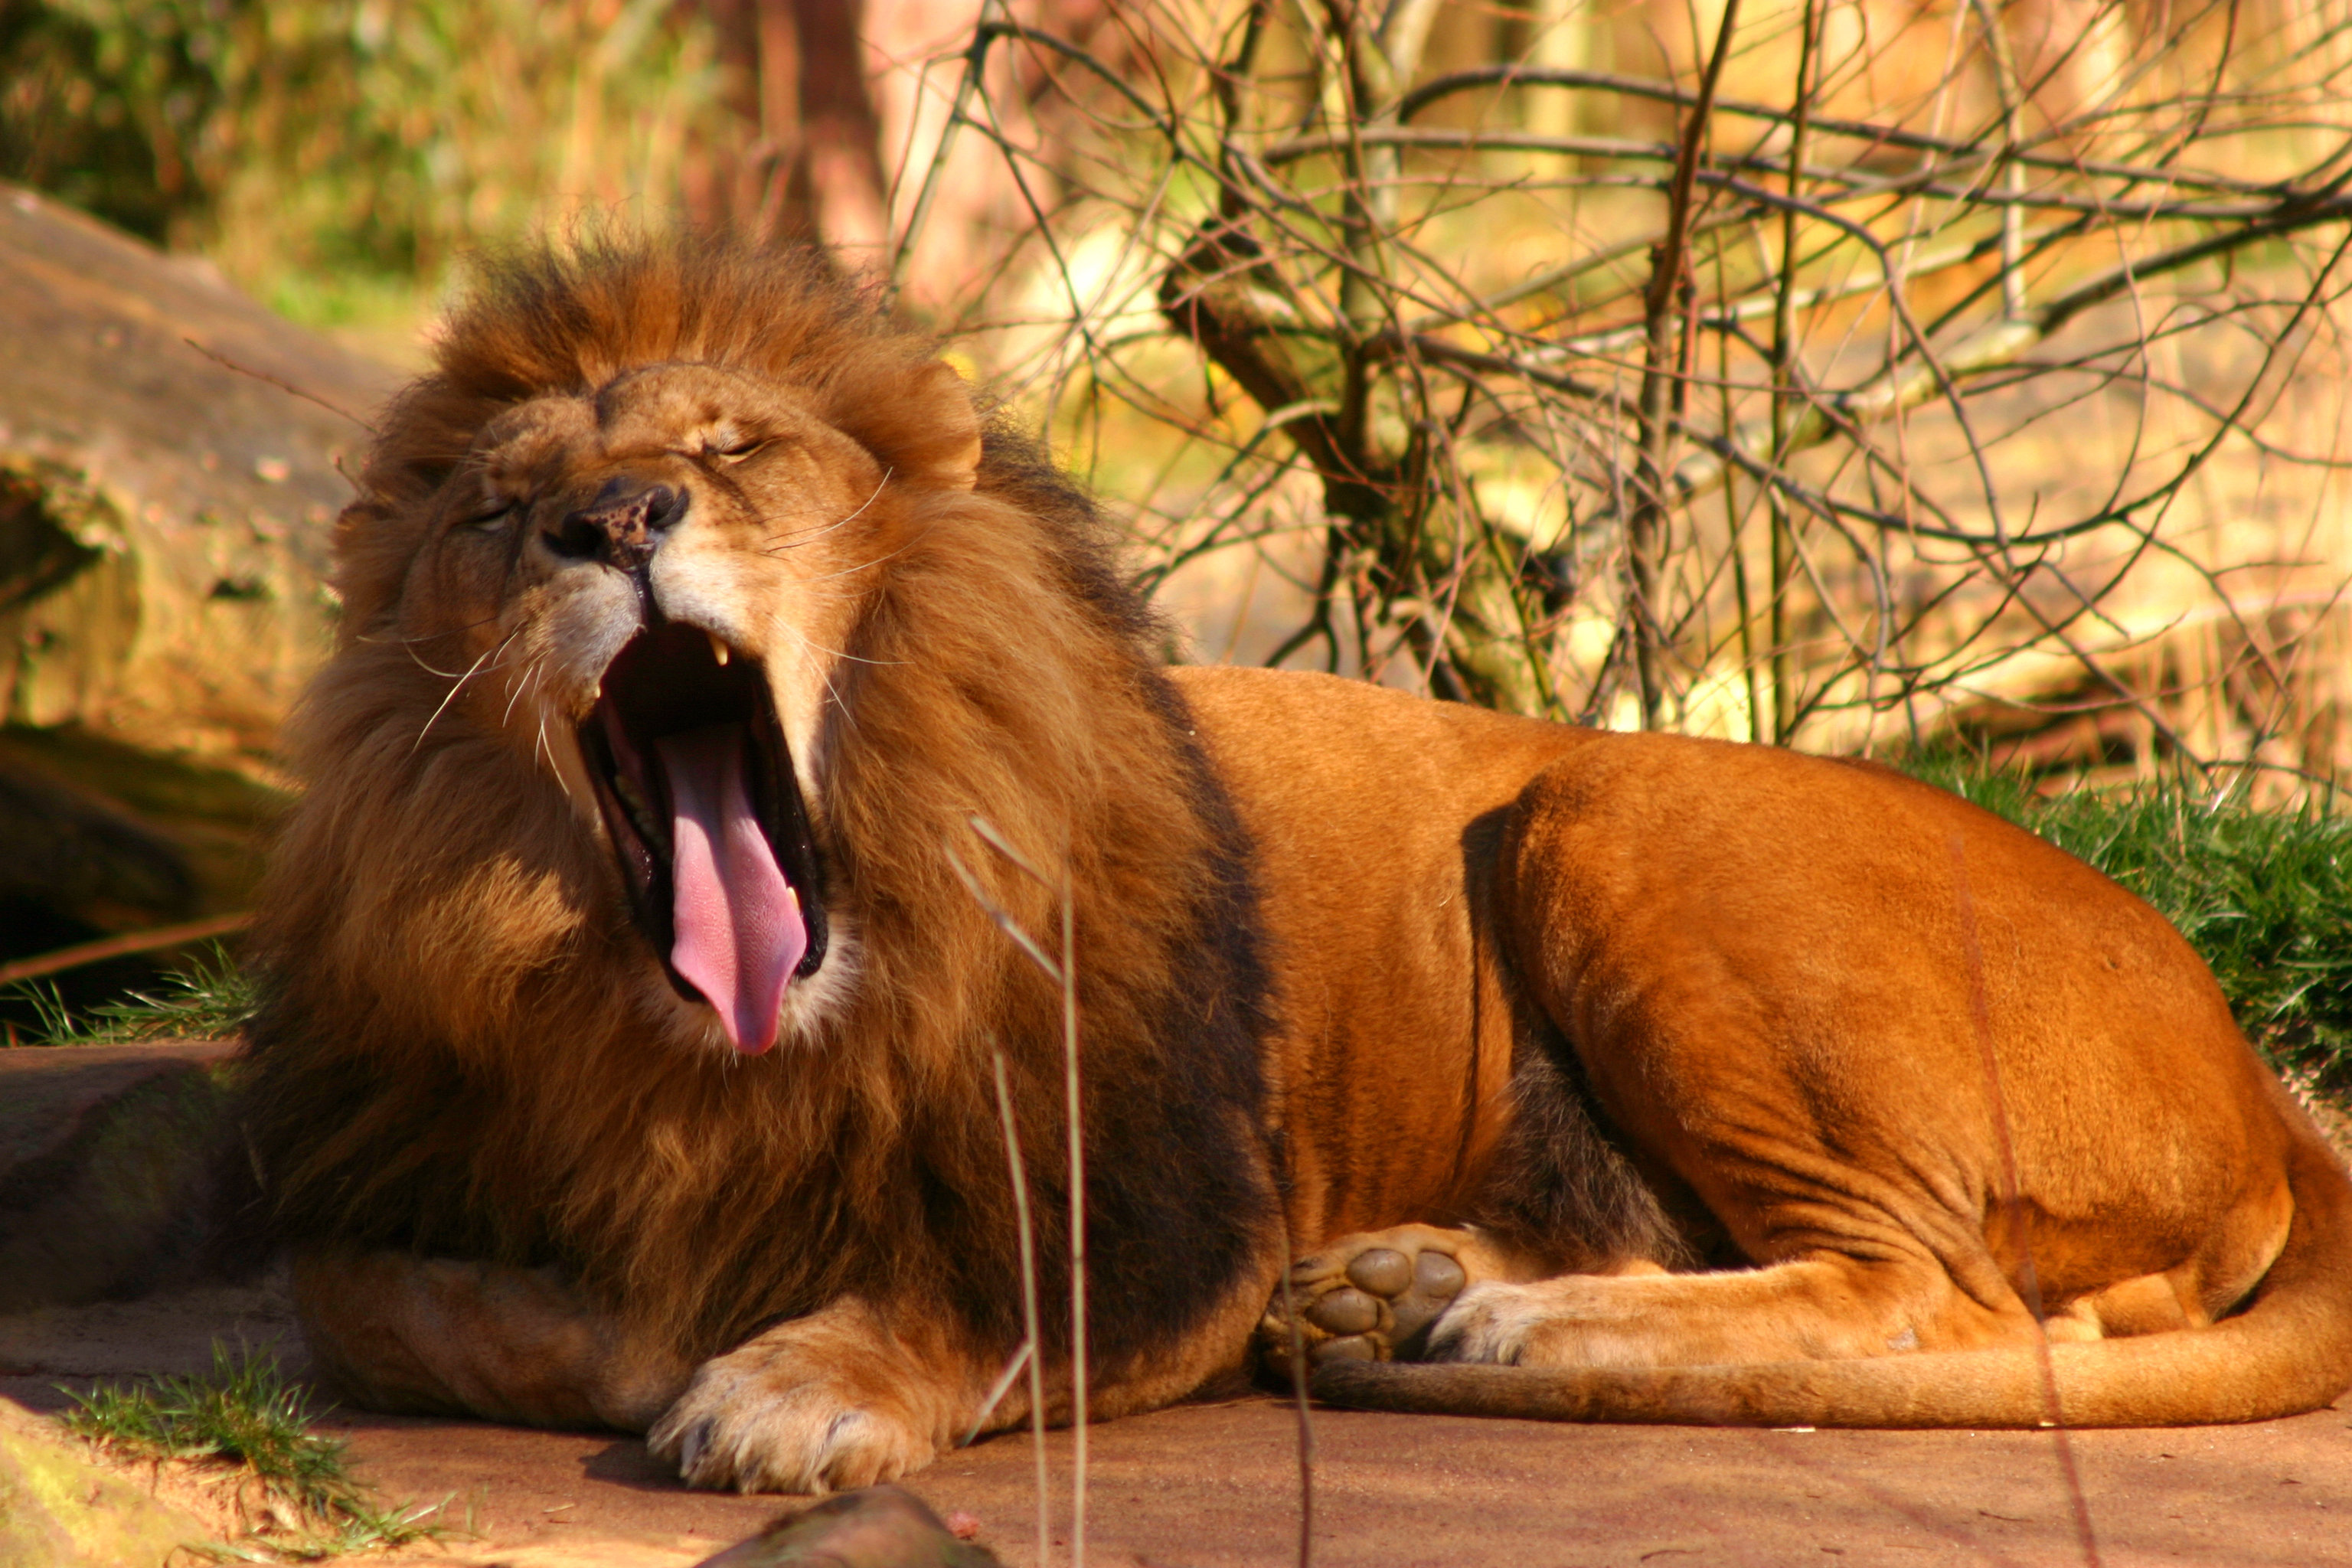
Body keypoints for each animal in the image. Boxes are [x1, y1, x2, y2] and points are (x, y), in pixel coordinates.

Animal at [240, 237, 2352, 1496]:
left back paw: (1496, 1320)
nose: (614, 519)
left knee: (1936, 1296)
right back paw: (1395, 1290)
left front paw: (776, 1378)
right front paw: (685, 1321)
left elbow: (954, 1303)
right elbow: (425, 1310)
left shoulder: (1161, 1210)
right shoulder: (375, 1182)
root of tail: (2257, 1075)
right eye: (503, 512)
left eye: (732, 446)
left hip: (1609, 809)